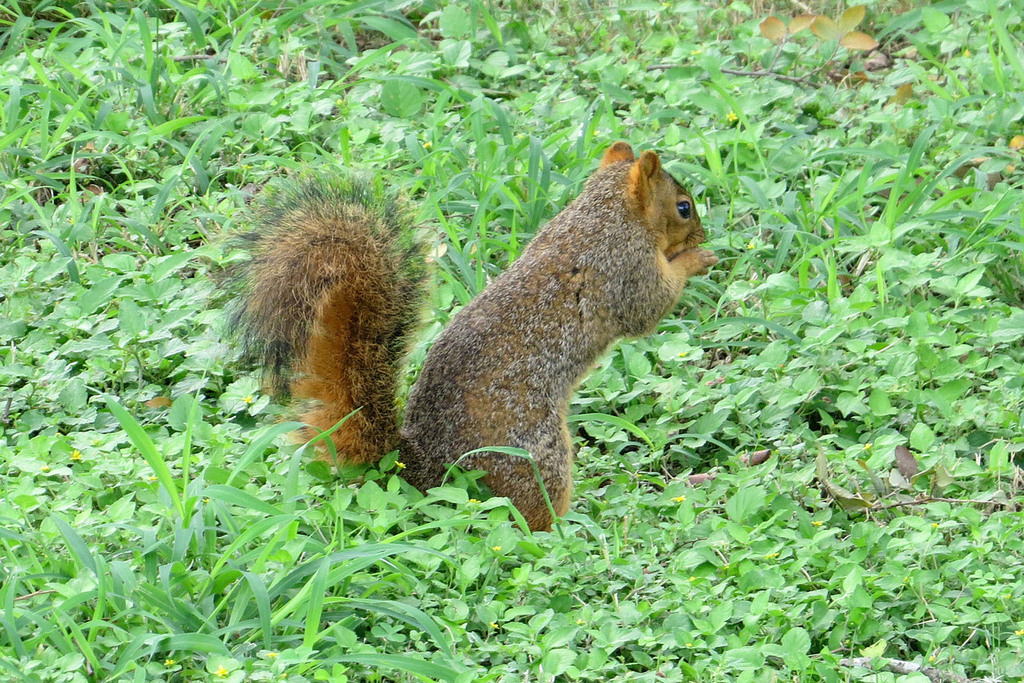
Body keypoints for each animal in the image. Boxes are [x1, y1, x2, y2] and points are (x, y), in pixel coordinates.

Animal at [230, 142, 717, 532]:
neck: (603, 215)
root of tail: (423, 470)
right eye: (683, 206)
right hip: (530, 458)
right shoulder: (624, 270)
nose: (703, 232)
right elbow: (650, 307)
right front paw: (698, 258)